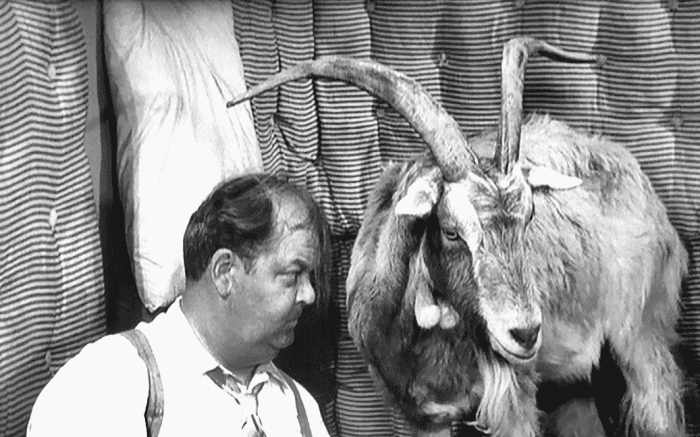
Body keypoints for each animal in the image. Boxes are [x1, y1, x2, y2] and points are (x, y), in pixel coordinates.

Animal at [227, 37, 688, 437]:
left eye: (529, 217)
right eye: (450, 231)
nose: (525, 334)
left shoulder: (512, 402)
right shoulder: (421, 416)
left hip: (640, 333)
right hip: (574, 383)